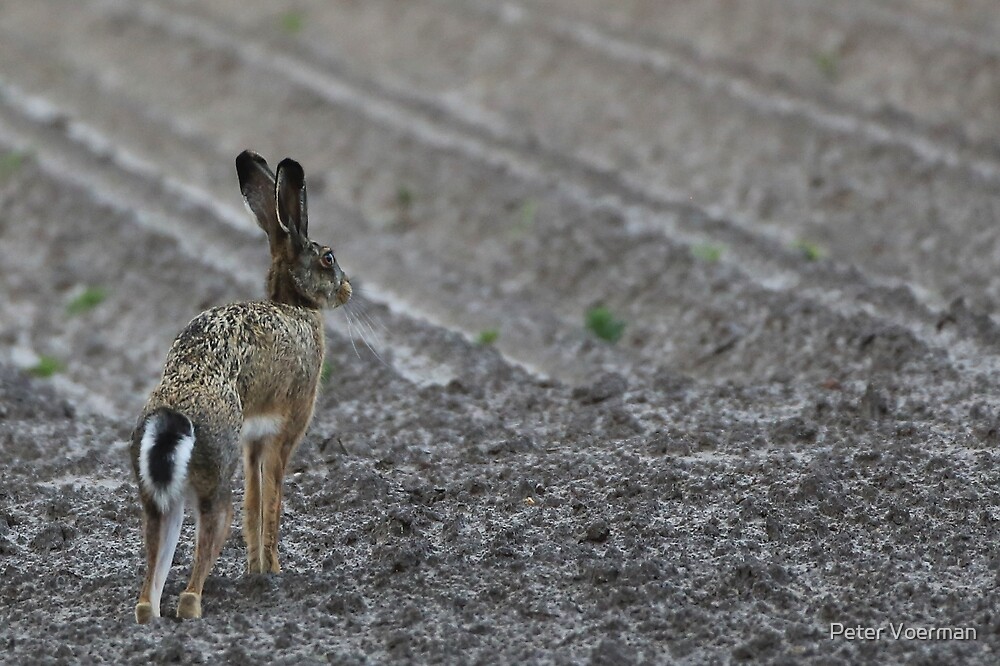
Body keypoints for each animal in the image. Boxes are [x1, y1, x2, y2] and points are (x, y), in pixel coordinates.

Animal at [129, 150, 351, 623]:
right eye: (327, 258)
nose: (347, 289)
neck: (293, 305)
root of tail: (174, 417)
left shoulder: (253, 440)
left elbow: (255, 501)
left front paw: (255, 570)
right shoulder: (287, 431)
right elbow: (273, 500)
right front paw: (274, 571)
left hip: (159, 497)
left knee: (155, 563)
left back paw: (148, 615)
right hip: (215, 480)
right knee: (208, 545)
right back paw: (192, 607)